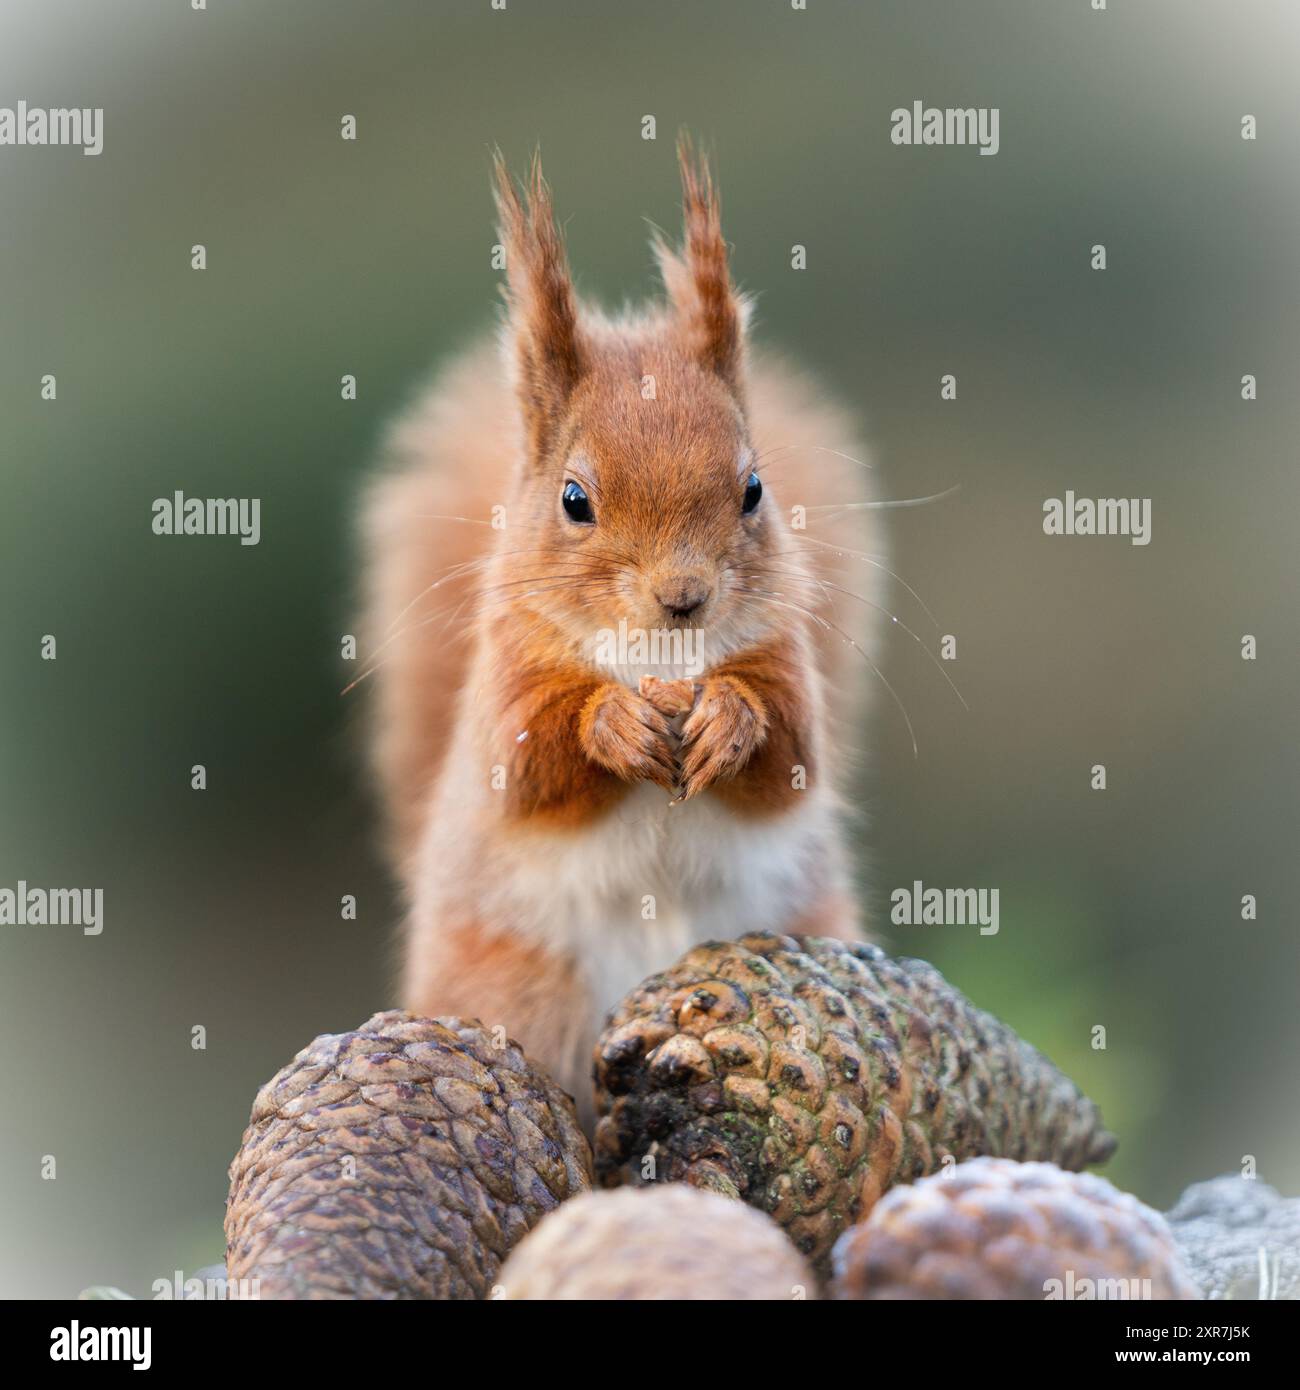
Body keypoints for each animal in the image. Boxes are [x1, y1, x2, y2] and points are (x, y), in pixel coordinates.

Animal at [361, 139, 880, 1112]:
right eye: (574, 499)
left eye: (755, 489)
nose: (685, 596)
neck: (661, 658)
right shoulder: (508, 675)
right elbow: (530, 763)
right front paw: (616, 724)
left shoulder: (783, 655)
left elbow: (791, 755)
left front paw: (728, 720)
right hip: (525, 992)